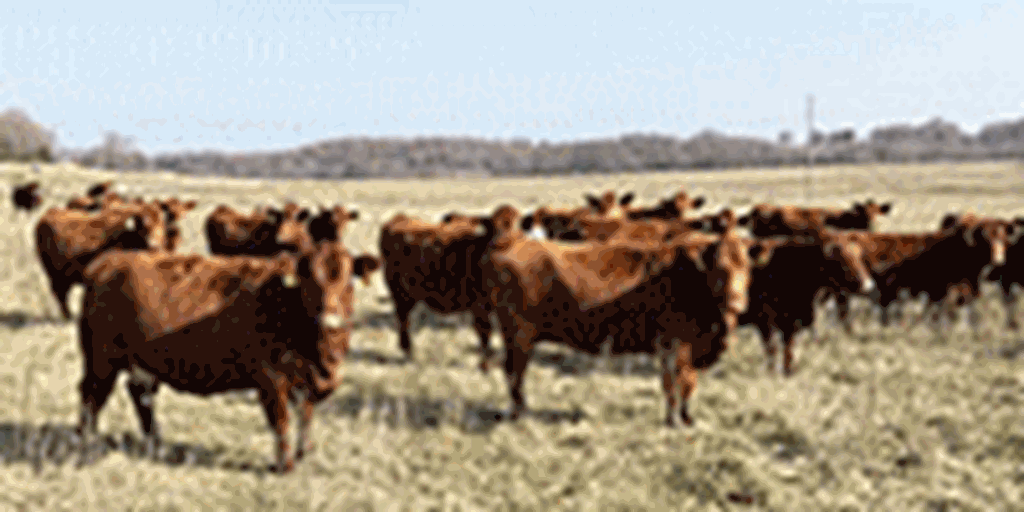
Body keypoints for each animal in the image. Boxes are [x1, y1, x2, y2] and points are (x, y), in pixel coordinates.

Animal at [34, 201, 168, 320]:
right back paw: (69, 316)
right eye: (144, 227)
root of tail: (48, 215)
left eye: (162, 225)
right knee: (60, 293)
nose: (154, 246)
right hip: (56, 275)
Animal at [74, 243, 382, 473]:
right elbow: (282, 421)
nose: (331, 321)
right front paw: (284, 466)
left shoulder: (306, 379)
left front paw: (304, 452)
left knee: (141, 396)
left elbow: (305, 416)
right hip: (101, 359)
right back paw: (86, 444)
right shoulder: (271, 379)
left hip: (140, 363)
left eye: (348, 283)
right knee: (92, 396)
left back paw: (156, 446)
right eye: (310, 284)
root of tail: (107, 260)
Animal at [379, 211, 506, 372]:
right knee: (403, 320)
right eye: (494, 227)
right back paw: (409, 352)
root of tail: (399, 218)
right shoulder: (479, 306)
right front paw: (485, 366)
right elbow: (484, 334)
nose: (501, 242)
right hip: (400, 293)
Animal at [482, 205, 763, 426]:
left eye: (747, 268)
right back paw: (519, 413)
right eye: (720, 269)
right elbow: (676, 382)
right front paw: (675, 419)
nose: (736, 303)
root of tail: (513, 241)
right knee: (515, 373)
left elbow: (686, 383)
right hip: (518, 335)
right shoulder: (674, 343)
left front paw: (685, 417)